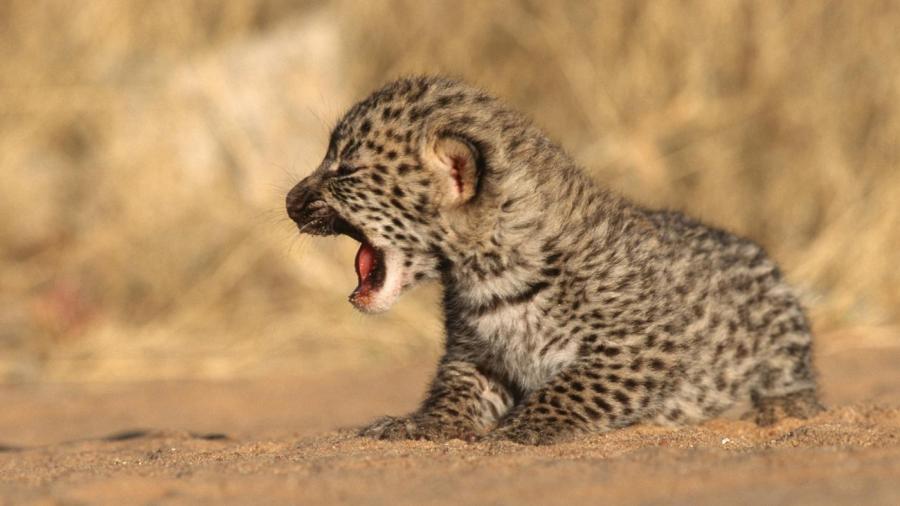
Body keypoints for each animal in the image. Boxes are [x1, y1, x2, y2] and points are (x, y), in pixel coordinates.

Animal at [285, 75, 823, 445]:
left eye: (346, 171)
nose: (289, 201)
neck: (485, 275)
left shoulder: (643, 347)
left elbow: (571, 388)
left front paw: (517, 428)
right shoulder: (474, 357)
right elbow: (452, 392)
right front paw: (416, 423)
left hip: (781, 322)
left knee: (801, 383)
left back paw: (780, 408)